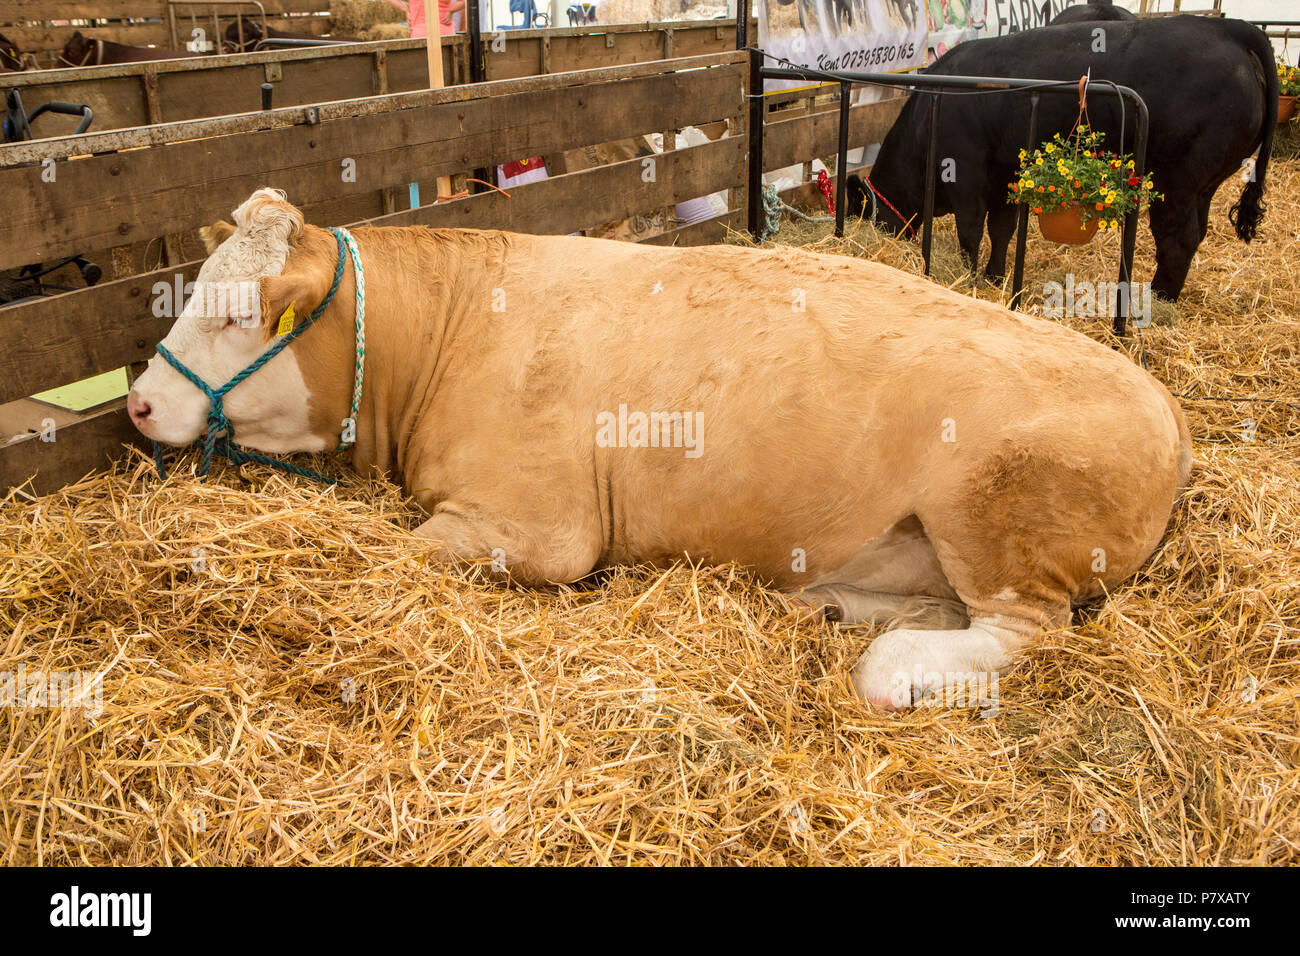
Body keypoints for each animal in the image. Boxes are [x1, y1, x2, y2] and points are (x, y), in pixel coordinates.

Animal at [127, 188, 1191, 710]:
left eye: (235, 315)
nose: (137, 403)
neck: (448, 337)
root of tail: (1168, 413)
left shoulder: (539, 528)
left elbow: (403, 551)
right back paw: (834, 606)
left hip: (996, 515)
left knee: (1021, 630)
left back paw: (899, 667)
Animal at [847, 16, 1277, 301]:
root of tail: (1228, 27)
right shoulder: (1004, 176)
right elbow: (1001, 230)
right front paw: (994, 277)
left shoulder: (964, 170)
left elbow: (970, 231)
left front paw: (968, 280)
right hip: (1203, 185)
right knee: (1195, 234)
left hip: (1181, 181)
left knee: (1177, 237)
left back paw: (1157, 299)